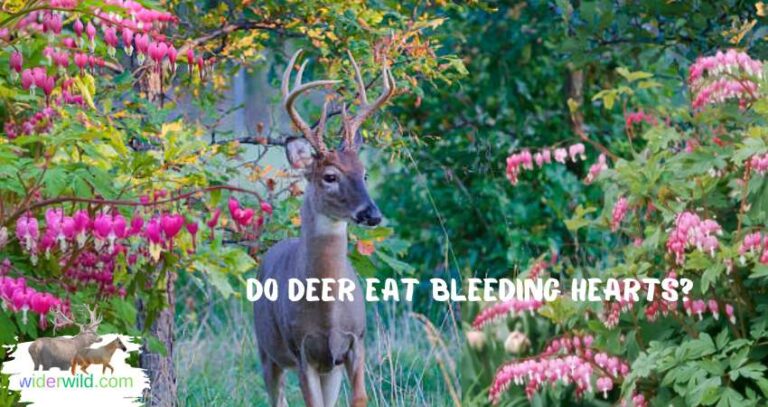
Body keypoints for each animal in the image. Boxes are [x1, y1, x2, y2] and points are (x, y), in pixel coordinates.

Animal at [253, 48, 396, 407]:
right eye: (330, 176)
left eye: (364, 173)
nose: (372, 214)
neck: (326, 315)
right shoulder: (302, 350)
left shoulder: (355, 342)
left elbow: (358, 399)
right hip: (266, 349)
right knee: (276, 397)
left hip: (329, 368)